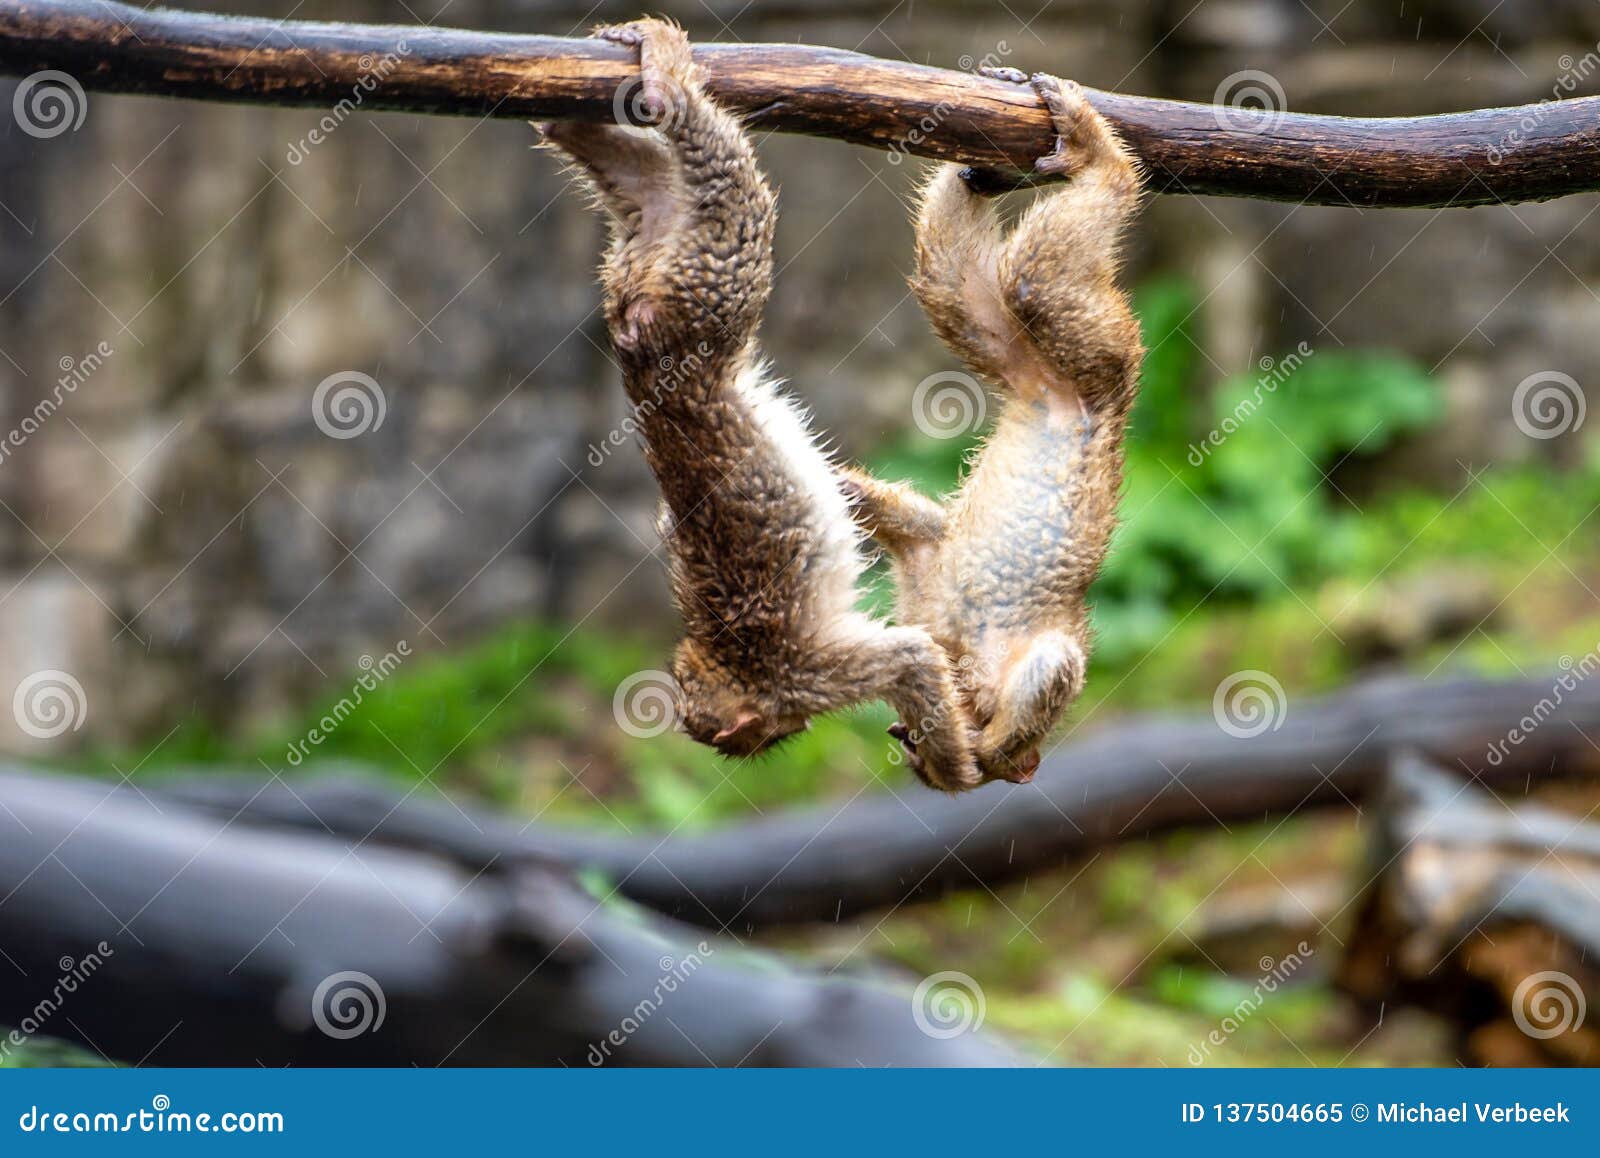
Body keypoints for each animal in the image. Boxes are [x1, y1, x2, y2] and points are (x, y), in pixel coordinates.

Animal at [536, 19, 984, 790]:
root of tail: (637, 330)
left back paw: (664, 80)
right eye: (768, 739)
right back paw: (577, 123)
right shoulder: (806, 675)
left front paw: (952, 770)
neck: (724, 659)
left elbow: (910, 658)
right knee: (653, 186)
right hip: (648, 263)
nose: (785, 734)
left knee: (727, 185)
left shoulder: (805, 674)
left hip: (701, 288)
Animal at [840, 68, 1145, 785]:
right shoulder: (927, 596)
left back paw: (1095, 162)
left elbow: (1055, 666)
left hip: (1099, 361)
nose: (912, 745)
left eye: (914, 752)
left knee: (1027, 279)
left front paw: (982, 754)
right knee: (973, 290)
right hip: (1049, 360)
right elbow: (919, 524)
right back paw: (1004, 170)